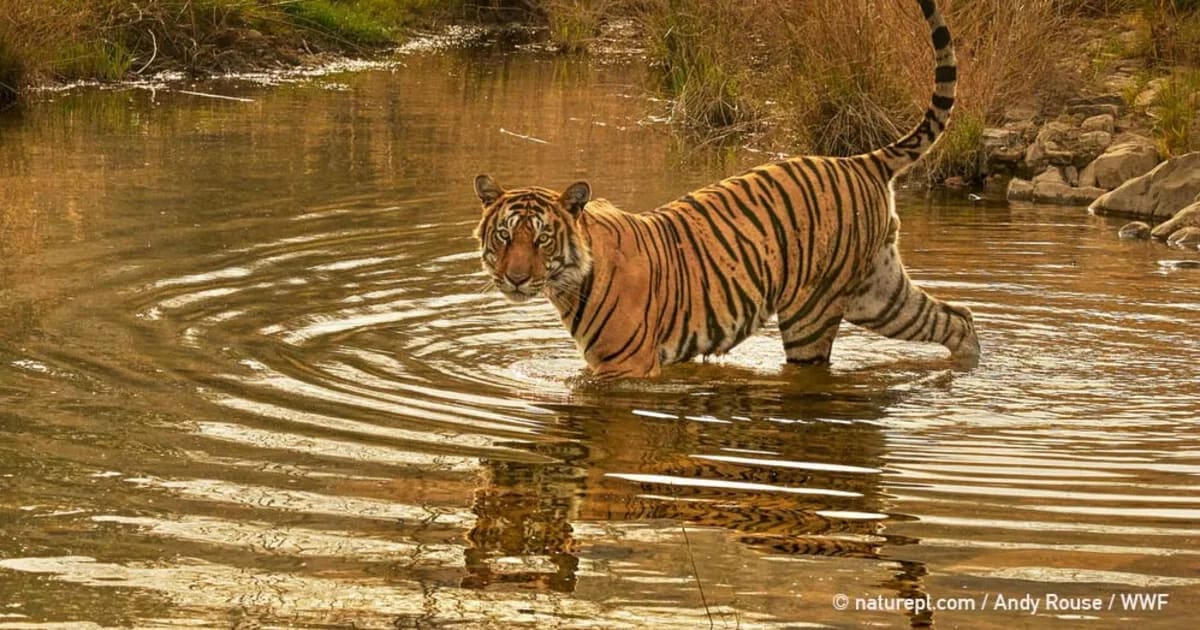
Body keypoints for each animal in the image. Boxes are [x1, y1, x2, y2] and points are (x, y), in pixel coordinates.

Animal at [472, 0, 980, 379]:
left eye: (542, 239)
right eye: (504, 236)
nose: (515, 278)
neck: (569, 282)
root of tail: (860, 160)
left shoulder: (625, 369)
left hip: (813, 311)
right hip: (878, 294)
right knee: (957, 317)